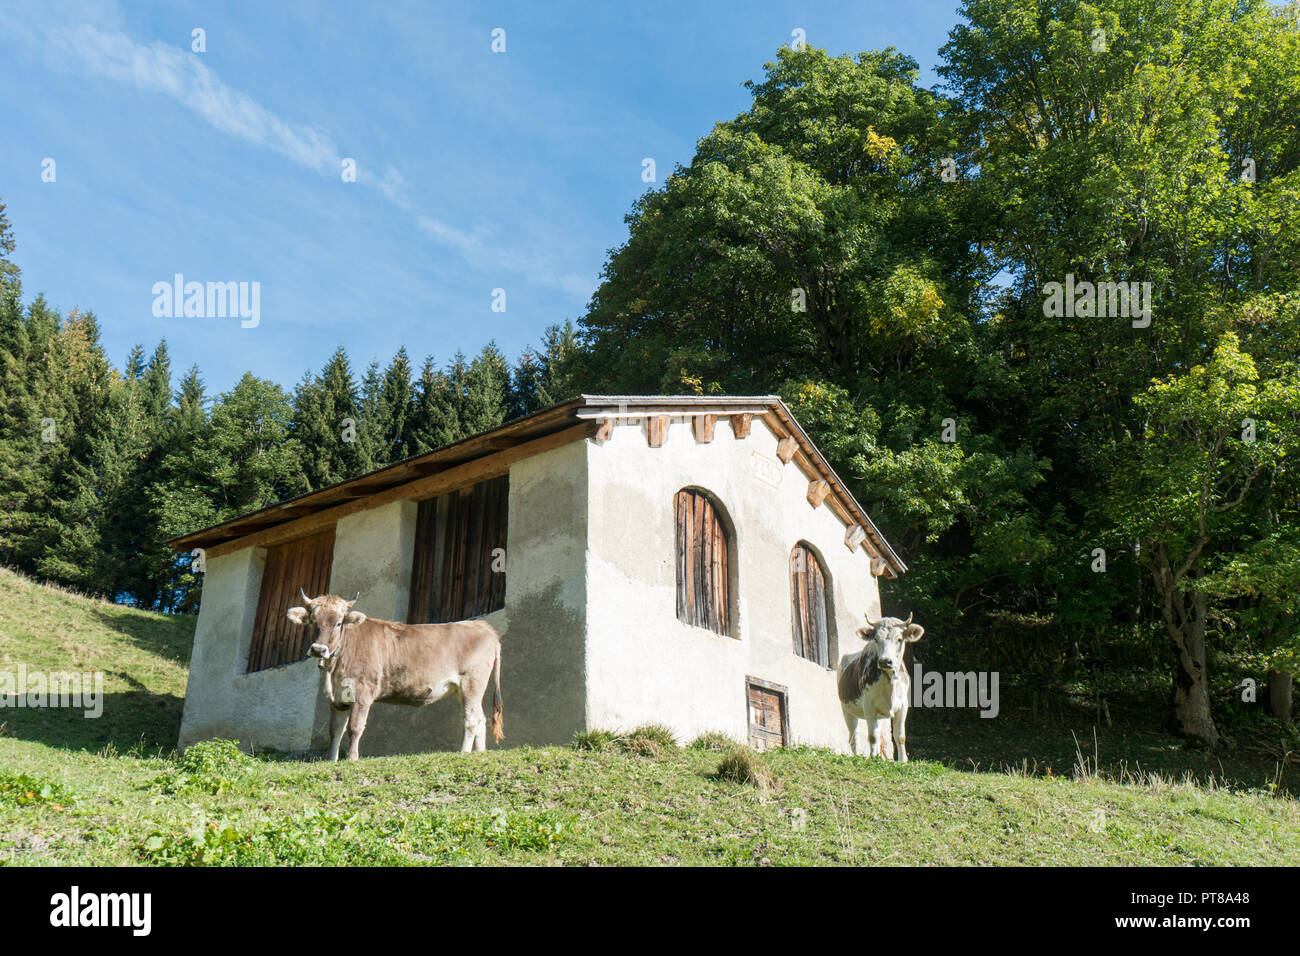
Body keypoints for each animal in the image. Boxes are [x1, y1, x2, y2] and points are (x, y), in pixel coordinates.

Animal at [286, 591, 504, 761]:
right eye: (312, 621)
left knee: (471, 719)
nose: (318, 649)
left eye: (339, 623)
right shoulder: (337, 698)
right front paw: (331, 760)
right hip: (463, 689)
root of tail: (484, 627)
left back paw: (464, 753)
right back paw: (480, 754)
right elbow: (335, 730)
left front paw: (351, 758)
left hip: (471, 683)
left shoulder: (363, 692)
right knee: (481, 719)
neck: (333, 670)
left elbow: (355, 727)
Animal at [837, 613, 924, 762]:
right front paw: (872, 758)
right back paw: (858, 755)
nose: (885, 661)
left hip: (881, 716)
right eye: (876, 639)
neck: (889, 682)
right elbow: (872, 736)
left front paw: (903, 761)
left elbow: (899, 736)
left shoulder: (903, 705)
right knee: (854, 736)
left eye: (899, 639)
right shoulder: (868, 705)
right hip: (847, 710)